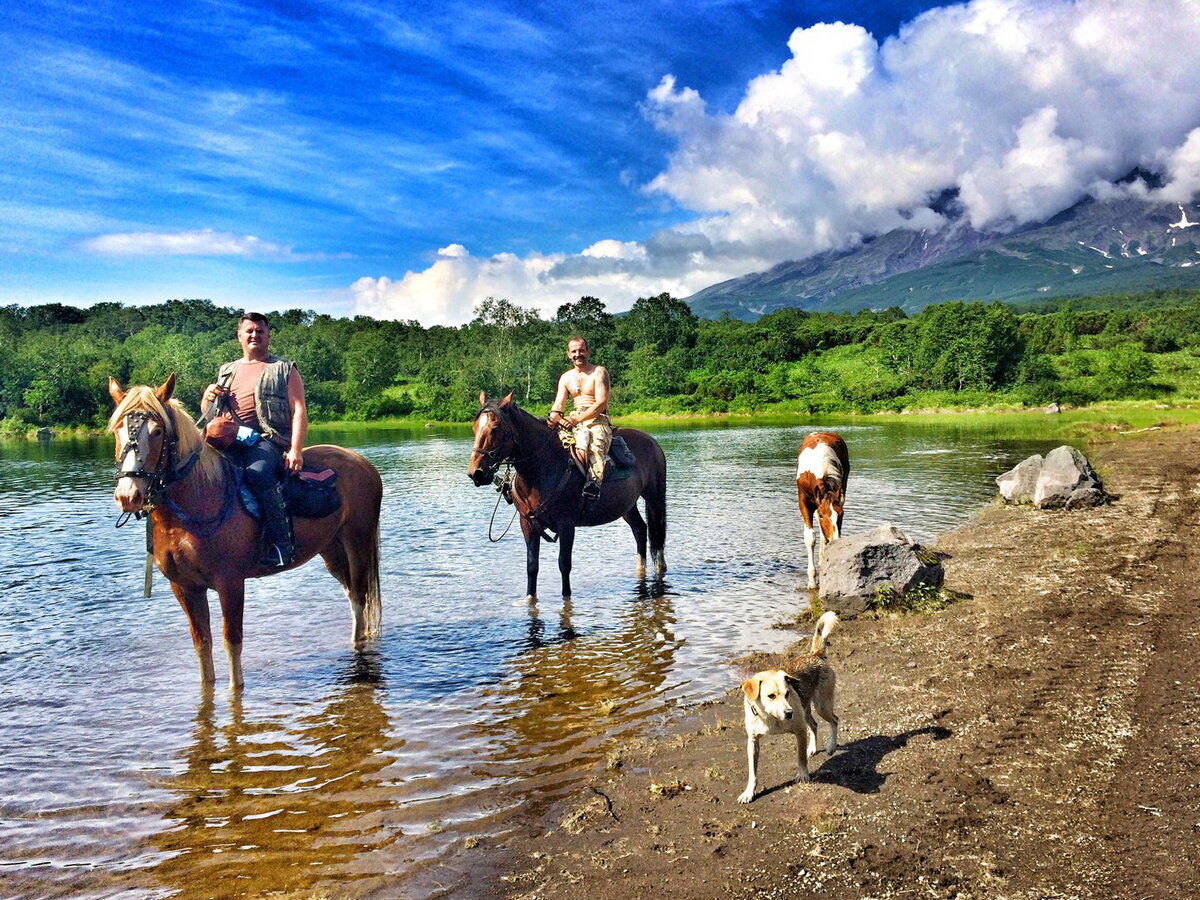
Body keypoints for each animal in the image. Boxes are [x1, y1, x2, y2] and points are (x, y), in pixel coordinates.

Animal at [109, 374, 384, 691]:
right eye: (116, 429)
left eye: (156, 432)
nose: (128, 495)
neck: (197, 502)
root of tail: (361, 462)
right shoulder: (185, 587)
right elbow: (202, 644)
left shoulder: (230, 582)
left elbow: (232, 642)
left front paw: (234, 691)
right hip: (332, 550)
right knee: (351, 594)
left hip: (358, 542)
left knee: (360, 595)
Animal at [463, 393, 667, 607]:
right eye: (474, 427)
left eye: (495, 428)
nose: (476, 473)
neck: (543, 468)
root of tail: (651, 441)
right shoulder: (527, 524)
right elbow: (532, 565)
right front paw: (529, 598)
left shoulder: (566, 525)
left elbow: (564, 564)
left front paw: (566, 598)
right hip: (627, 506)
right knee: (640, 530)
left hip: (655, 497)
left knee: (657, 533)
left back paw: (660, 567)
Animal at [734, 614, 840, 801]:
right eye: (771, 696)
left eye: (787, 693)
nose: (789, 713)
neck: (770, 718)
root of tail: (815, 655)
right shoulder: (752, 741)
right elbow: (752, 772)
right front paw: (748, 792)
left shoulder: (799, 730)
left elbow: (800, 757)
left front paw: (803, 775)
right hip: (806, 710)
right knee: (814, 725)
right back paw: (813, 748)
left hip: (822, 706)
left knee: (834, 720)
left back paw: (831, 746)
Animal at [796, 434, 854, 592]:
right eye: (823, 514)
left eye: (842, 514)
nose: (836, 541)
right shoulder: (803, 501)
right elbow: (810, 537)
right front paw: (811, 581)